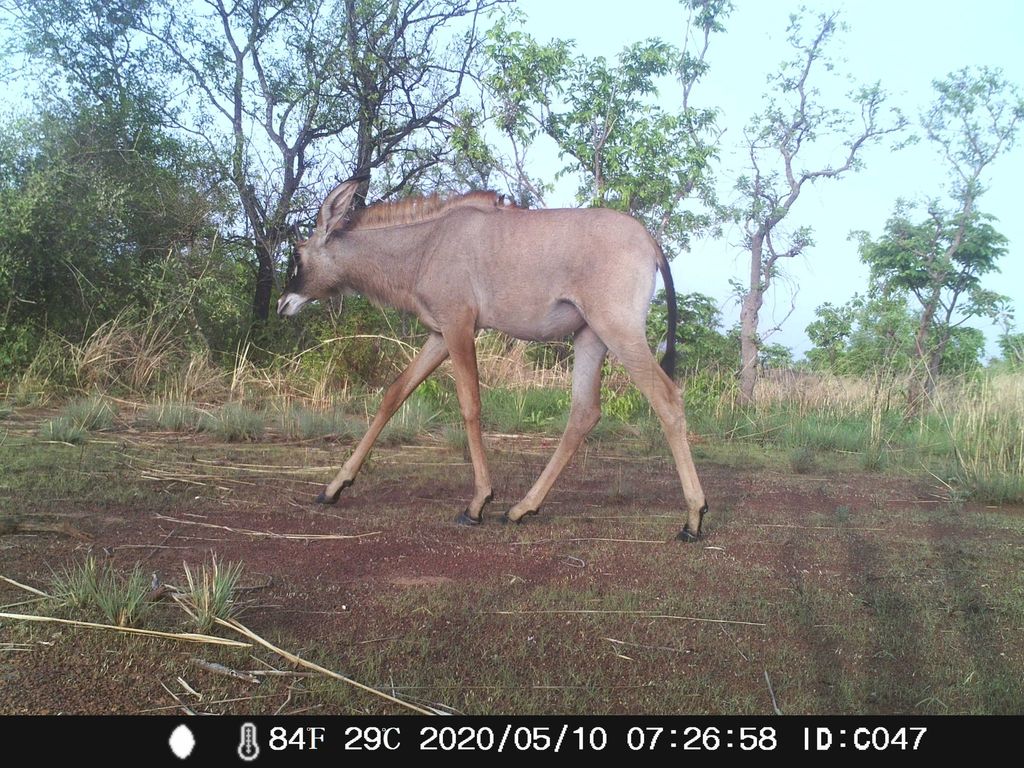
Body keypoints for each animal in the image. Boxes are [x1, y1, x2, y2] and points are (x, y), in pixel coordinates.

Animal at [278, 179, 708, 541]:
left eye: (297, 254)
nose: (283, 304)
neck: (427, 244)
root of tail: (649, 241)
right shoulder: (439, 334)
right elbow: (395, 393)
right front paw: (333, 487)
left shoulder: (459, 325)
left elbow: (470, 405)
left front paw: (477, 503)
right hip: (590, 336)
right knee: (584, 411)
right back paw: (522, 509)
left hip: (618, 329)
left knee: (667, 399)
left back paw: (693, 519)